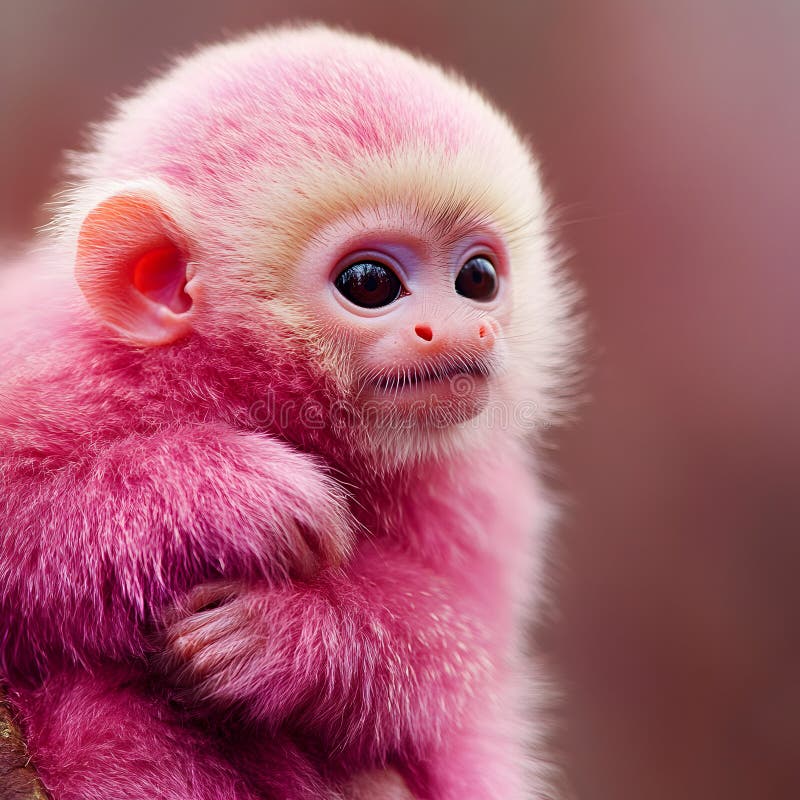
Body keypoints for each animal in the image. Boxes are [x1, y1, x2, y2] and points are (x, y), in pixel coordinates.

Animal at [0, 24, 577, 800]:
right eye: (370, 283)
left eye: (478, 278)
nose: (467, 330)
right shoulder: (58, 370)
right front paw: (233, 498)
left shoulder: (475, 495)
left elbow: (459, 672)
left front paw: (284, 637)